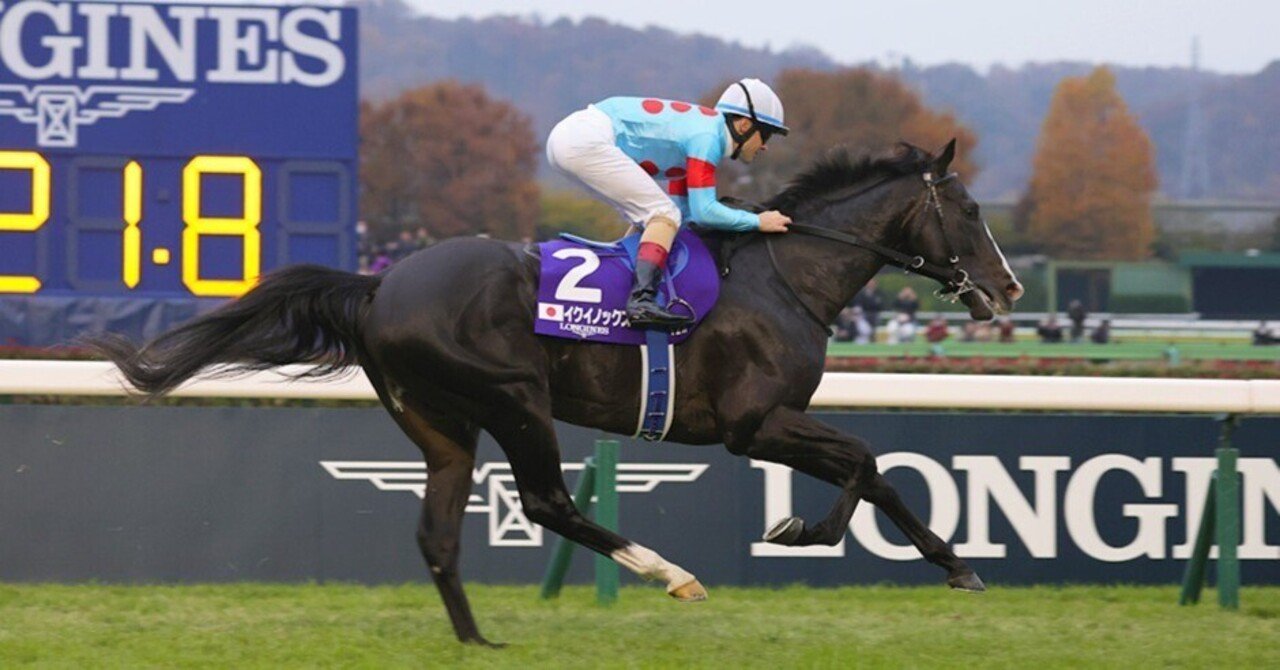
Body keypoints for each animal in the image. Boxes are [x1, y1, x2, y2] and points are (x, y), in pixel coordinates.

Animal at [92, 140, 1023, 646]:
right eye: (972, 209)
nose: (1008, 288)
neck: (786, 275)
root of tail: (380, 283)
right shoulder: (754, 423)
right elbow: (863, 462)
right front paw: (802, 531)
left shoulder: (770, 422)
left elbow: (880, 472)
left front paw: (957, 567)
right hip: (514, 399)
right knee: (545, 502)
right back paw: (672, 573)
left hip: (441, 424)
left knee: (438, 532)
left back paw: (478, 639)